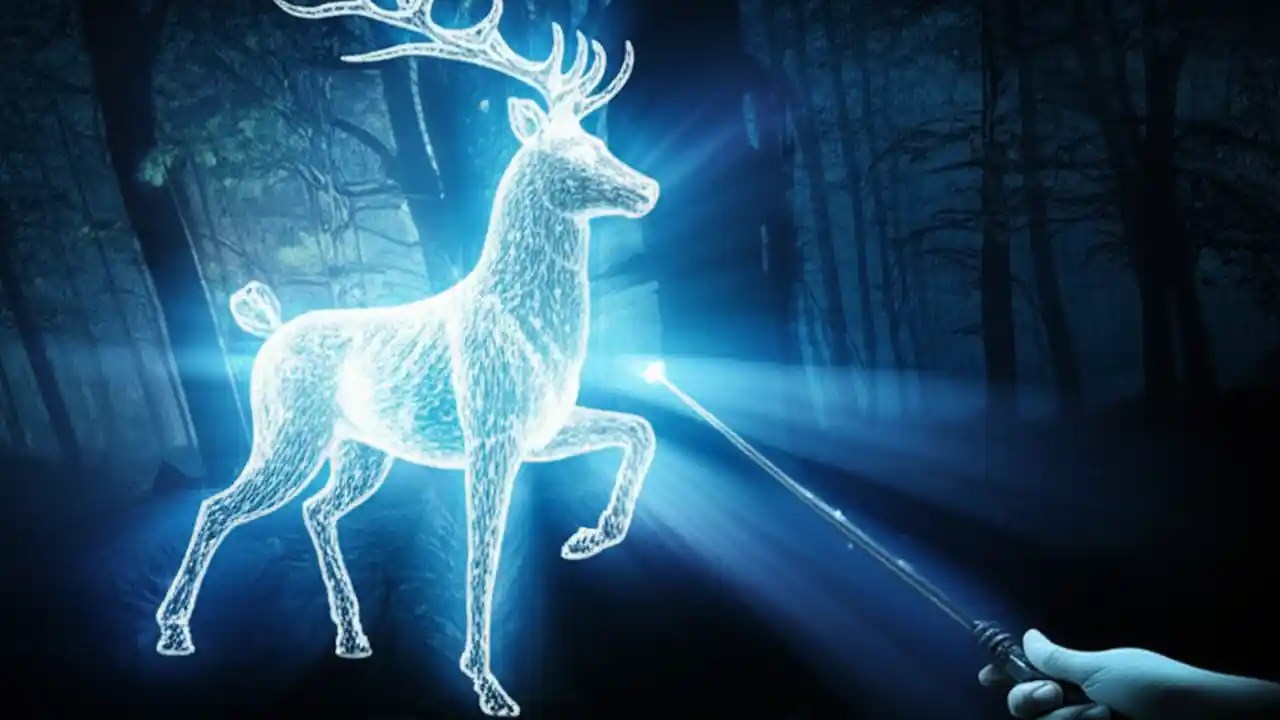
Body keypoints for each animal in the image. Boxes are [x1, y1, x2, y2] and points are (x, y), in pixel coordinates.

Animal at [153, 1, 660, 715]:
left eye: (602, 142)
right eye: (570, 151)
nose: (649, 188)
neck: (527, 324)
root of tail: (269, 334)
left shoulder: (542, 427)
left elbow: (639, 430)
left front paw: (587, 539)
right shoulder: (491, 433)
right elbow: (483, 555)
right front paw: (488, 685)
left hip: (362, 452)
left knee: (315, 510)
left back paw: (352, 636)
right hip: (287, 435)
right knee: (217, 507)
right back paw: (174, 633)